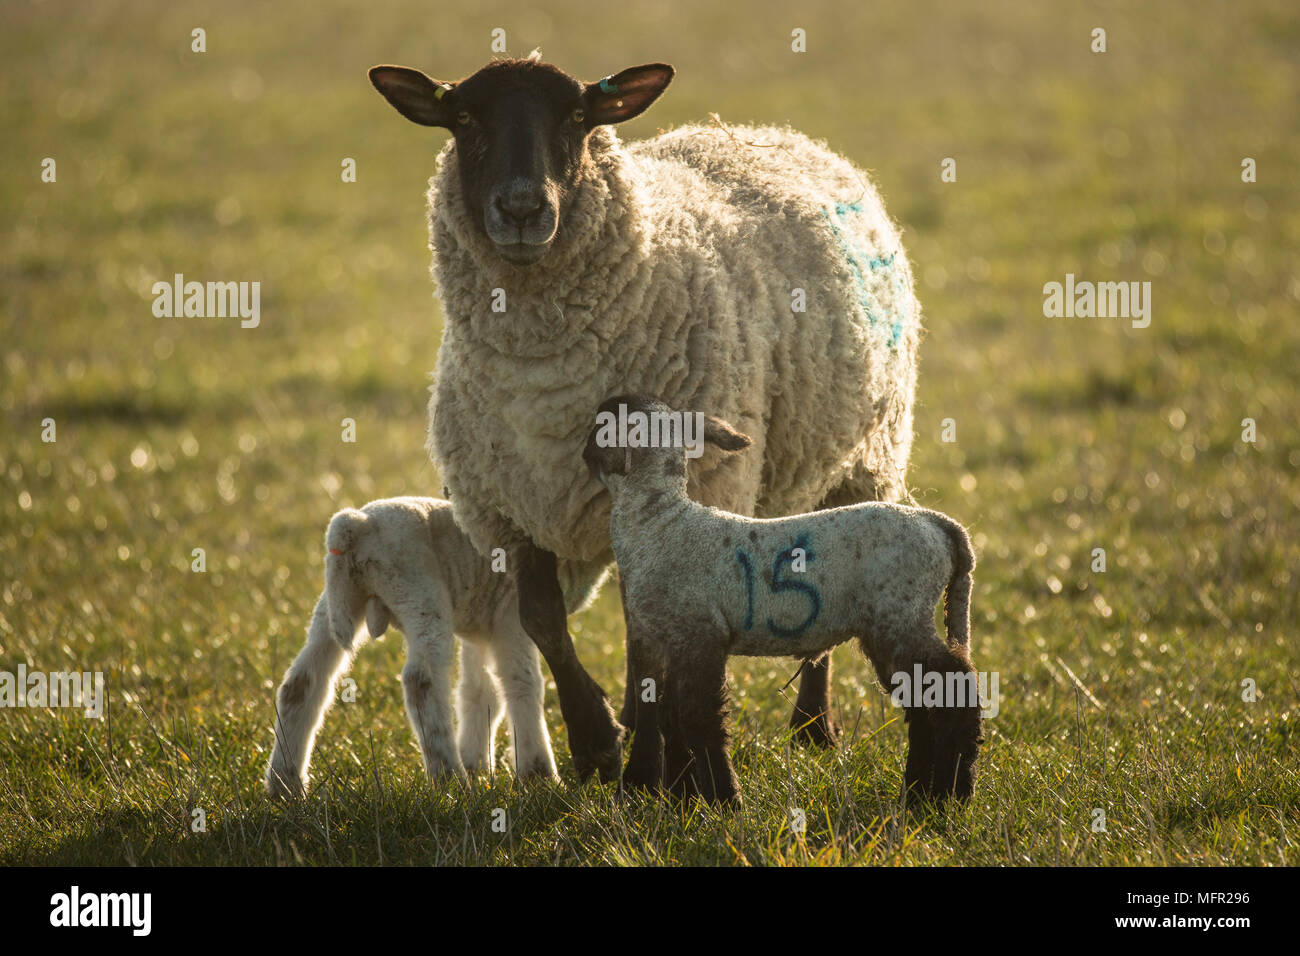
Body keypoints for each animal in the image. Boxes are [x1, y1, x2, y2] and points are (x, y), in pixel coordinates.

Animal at [264, 497, 597, 798]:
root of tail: (354, 525)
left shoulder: (481, 628)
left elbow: (480, 690)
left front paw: (477, 763)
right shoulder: (511, 615)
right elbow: (521, 682)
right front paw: (538, 776)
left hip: (334, 603)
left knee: (302, 682)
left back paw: (285, 785)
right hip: (419, 594)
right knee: (420, 680)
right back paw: (450, 781)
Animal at [368, 55, 922, 781]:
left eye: (578, 116)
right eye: (463, 118)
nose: (522, 208)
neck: (544, 386)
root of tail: (779, 134)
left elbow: (642, 631)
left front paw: (647, 763)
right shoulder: (511, 513)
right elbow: (545, 624)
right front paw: (595, 742)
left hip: (867, 459)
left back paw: (811, 727)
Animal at [582, 395, 983, 805]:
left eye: (601, 424)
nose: (582, 451)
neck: (657, 519)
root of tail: (941, 525)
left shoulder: (701, 636)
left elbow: (699, 719)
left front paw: (724, 799)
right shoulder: (665, 640)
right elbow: (668, 717)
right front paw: (675, 796)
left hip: (902, 614)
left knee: (955, 692)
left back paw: (952, 792)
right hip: (891, 623)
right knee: (923, 703)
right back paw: (917, 792)